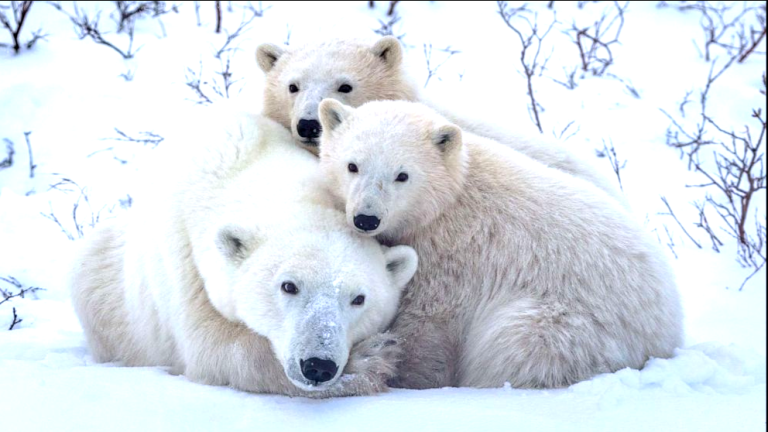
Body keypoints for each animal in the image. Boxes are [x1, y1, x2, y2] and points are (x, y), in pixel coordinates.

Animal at [68, 112, 419, 397]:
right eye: (288, 286)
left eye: (359, 298)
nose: (318, 366)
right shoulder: (185, 262)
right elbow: (214, 349)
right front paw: (374, 358)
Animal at [316, 98, 683, 389]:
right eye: (352, 165)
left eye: (402, 175)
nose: (367, 218)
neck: (449, 200)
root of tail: (667, 333)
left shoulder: (452, 256)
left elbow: (426, 325)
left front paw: (403, 373)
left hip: (568, 326)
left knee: (514, 346)